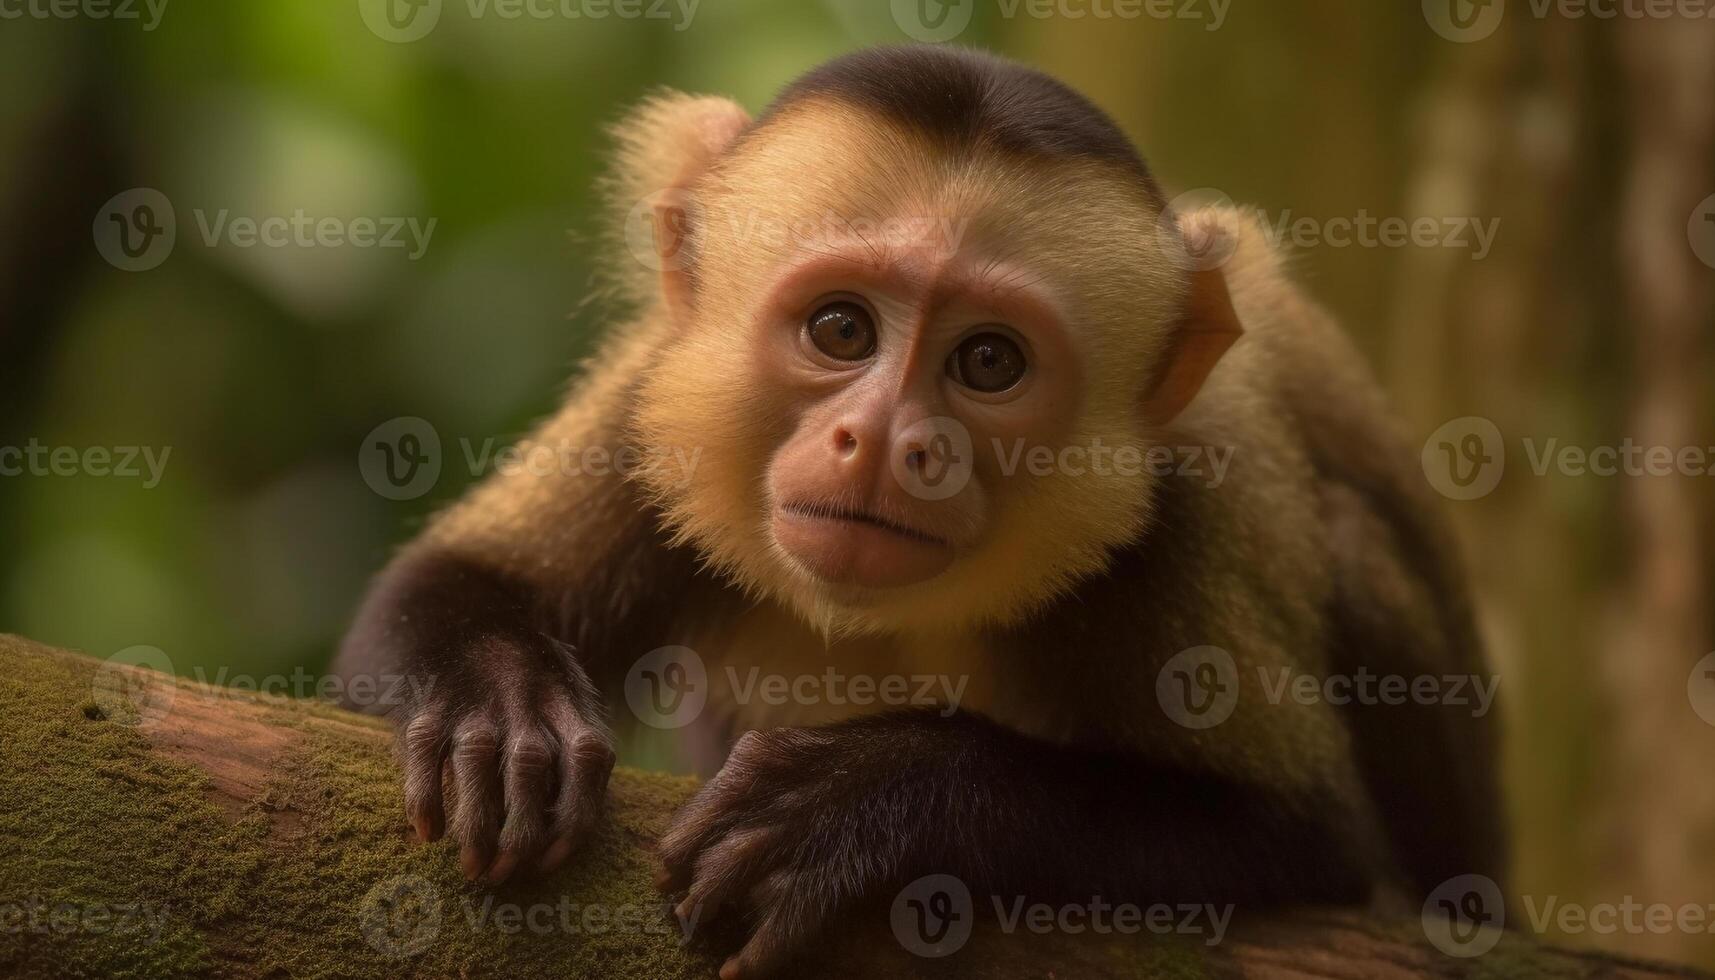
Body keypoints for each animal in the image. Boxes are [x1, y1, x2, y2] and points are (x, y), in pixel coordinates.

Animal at [335, 45, 1505, 979]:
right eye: (841, 329)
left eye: (987, 361)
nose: (890, 441)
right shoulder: (651, 402)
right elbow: (446, 586)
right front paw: (498, 700)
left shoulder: (1191, 499)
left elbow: (1308, 843)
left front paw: (874, 795)